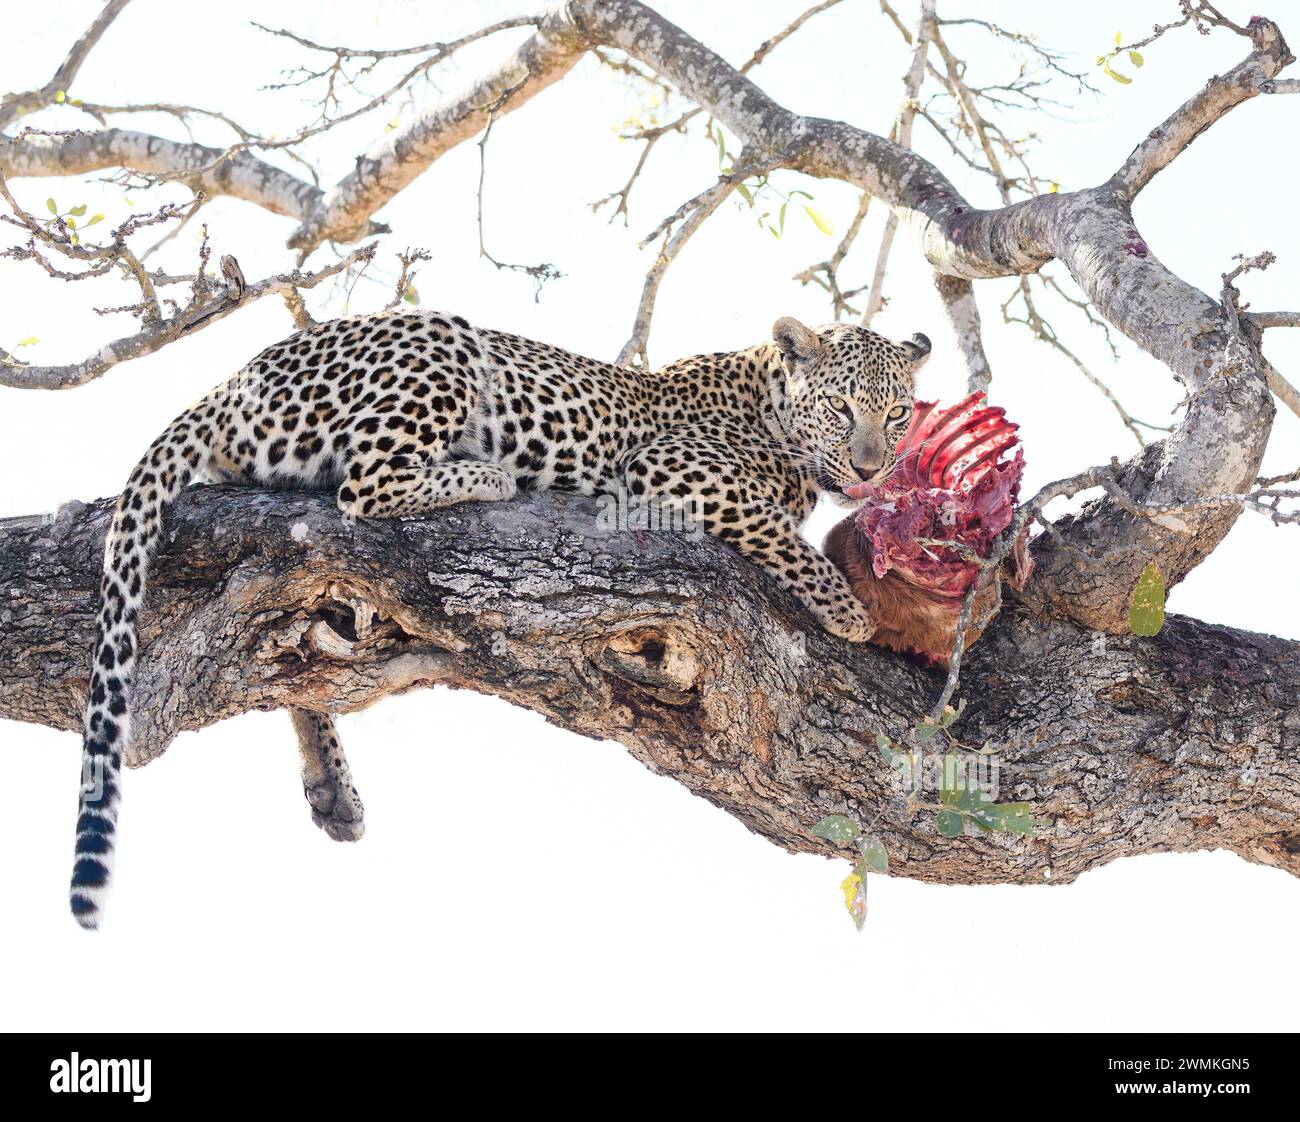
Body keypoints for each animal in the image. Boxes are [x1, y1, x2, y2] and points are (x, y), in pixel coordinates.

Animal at [69, 309, 930, 928]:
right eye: (843, 407)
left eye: (898, 416)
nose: (871, 467)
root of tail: (232, 378)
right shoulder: (672, 470)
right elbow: (779, 533)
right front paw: (849, 611)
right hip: (441, 345)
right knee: (363, 487)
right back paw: (485, 474)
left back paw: (331, 786)